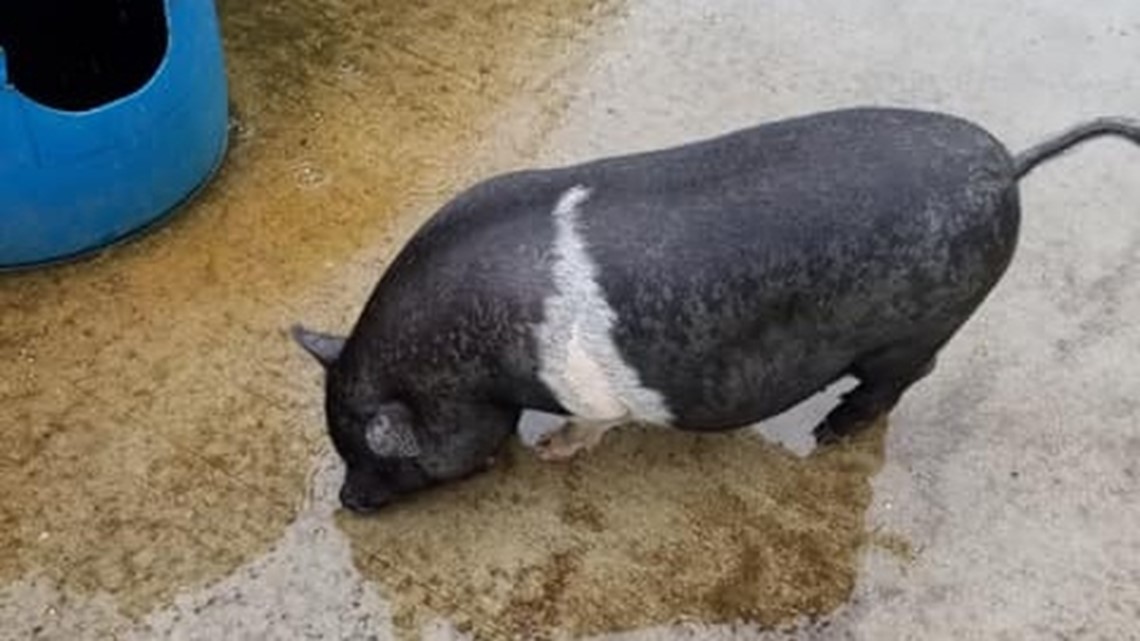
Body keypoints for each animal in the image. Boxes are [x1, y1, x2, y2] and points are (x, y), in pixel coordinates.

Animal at [293, 107, 1140, 513]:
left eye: (376, 452)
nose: (347, 503)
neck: (468, 362)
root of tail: (1009, 164)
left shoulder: (592, 392)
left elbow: (593, 422)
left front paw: (552, 453)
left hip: (921, 326)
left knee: (898, 380)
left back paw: (828, 432)